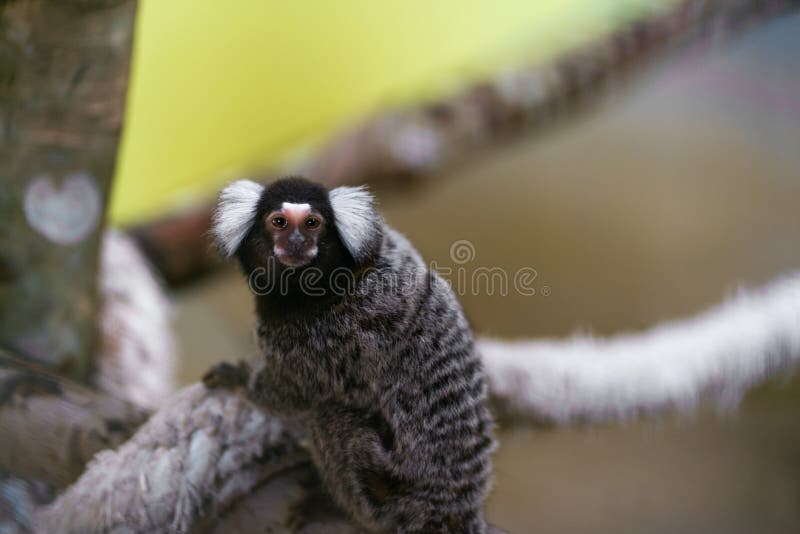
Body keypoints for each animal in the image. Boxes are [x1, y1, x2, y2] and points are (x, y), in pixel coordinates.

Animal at [206, 177, 495, 533]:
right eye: (279, 222)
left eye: (312, 224)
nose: (297, 242)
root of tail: (453, 502)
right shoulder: (392, 244)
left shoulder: (319, 339)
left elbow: (293, 394)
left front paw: (239, 380)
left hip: (384, 485)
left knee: (326, 414)